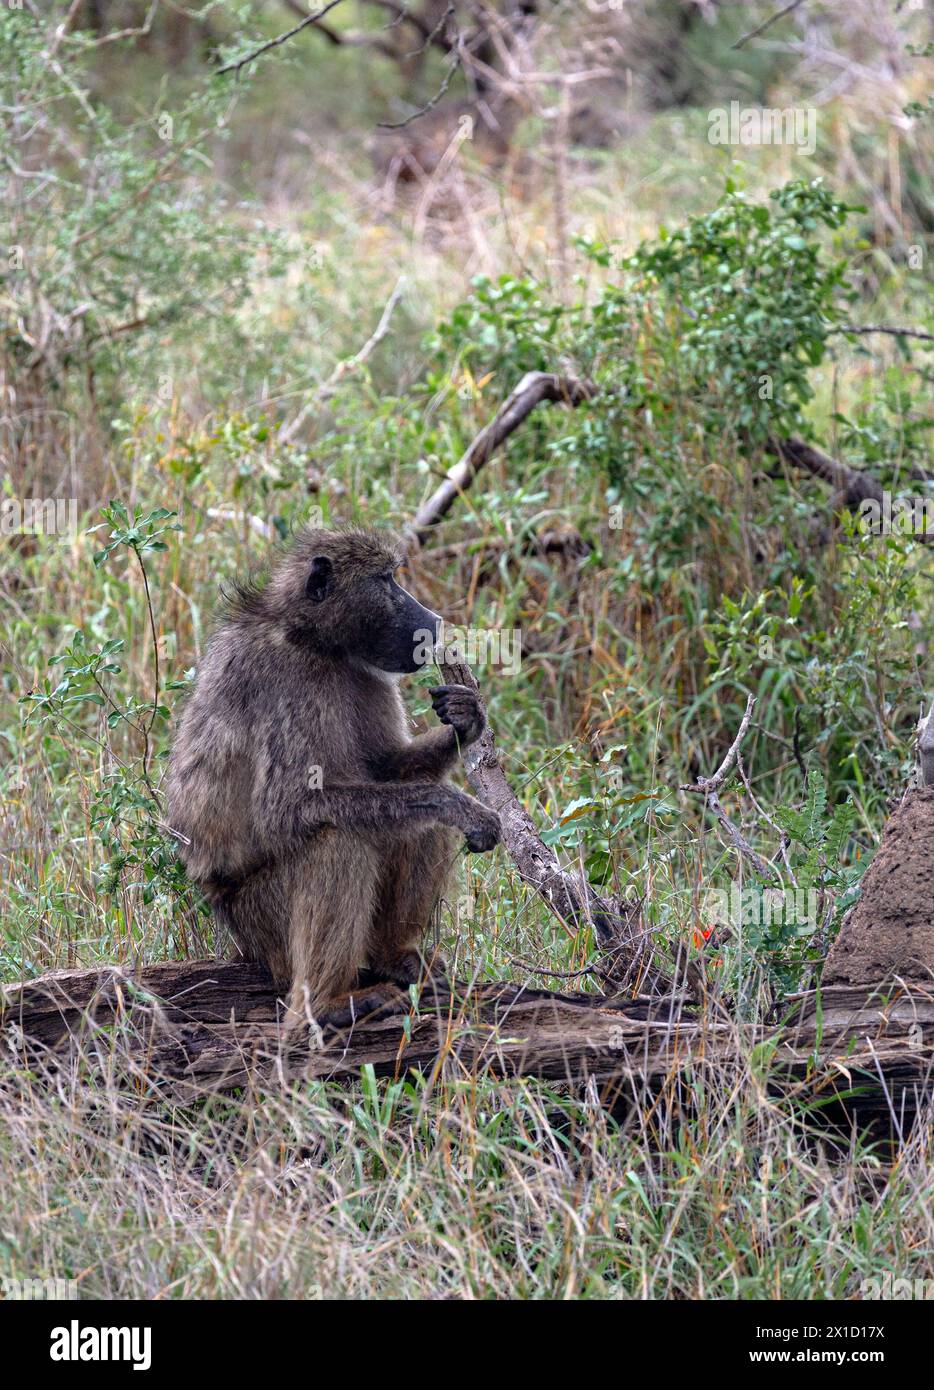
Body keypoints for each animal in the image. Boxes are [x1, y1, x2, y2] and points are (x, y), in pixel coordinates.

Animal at [166, 525, 502, 1029]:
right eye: (386, 580)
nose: (434, 620)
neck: (314, 641)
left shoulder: (368, 676)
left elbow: (387, 769)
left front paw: (465, 719)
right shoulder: (281, 683)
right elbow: (287, 808)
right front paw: (457, 803)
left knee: (417, 828)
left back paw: (393, 958)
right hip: (261, 923)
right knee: (339, 840)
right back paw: (328, 1005)